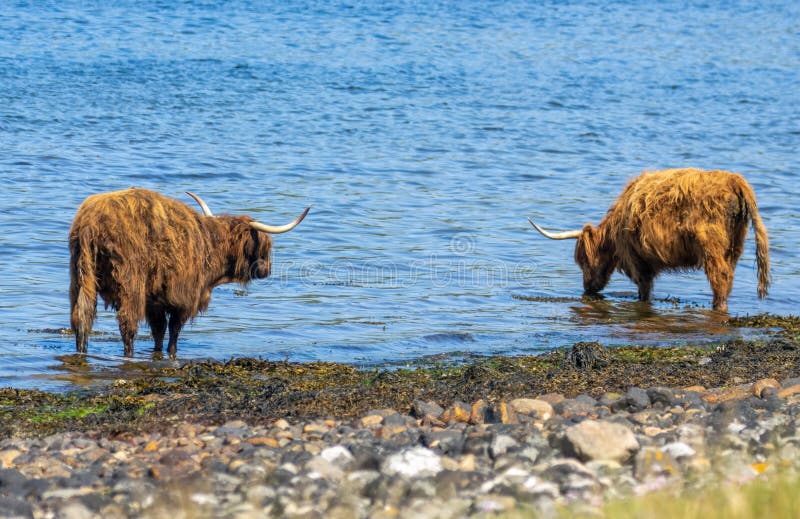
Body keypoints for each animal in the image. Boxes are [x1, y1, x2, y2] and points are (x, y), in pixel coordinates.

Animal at [69, 188, 309, 357]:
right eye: (265, 249)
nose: (267, 269)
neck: (211, 246)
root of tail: (90, 223)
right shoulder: (183, 297)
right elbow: (173, 331)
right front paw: (170, 353)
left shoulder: (155, 301)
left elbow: (159, 331)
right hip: (130, 283)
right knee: (127, 323)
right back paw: (128, 355)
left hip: (80, 275)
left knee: (81, 317)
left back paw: (81, 351)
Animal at [528, 168, 769, 312]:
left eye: (583, 261)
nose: (587, 288)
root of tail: (734, 181)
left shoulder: (637, 259)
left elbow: (644, 289)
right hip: (735, 243)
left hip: (712, 245)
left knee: (720, 277)